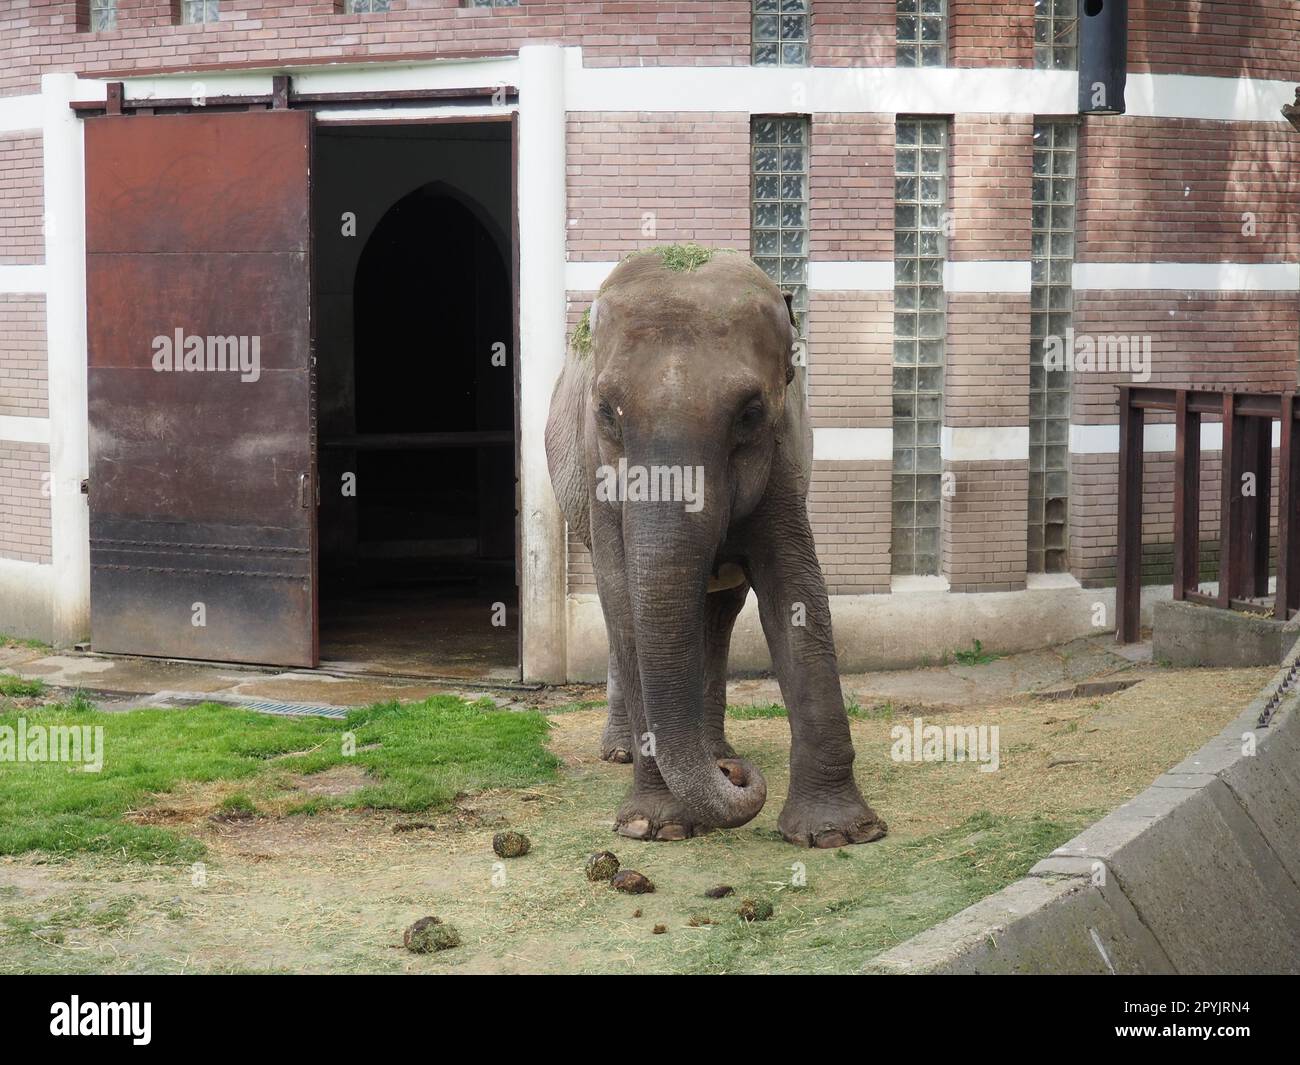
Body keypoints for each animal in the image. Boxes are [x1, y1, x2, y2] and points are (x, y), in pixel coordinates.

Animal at [545, 246, 887, 848]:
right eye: (606, 412)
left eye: (750, 414)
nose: (736, 776)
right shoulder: (596, 473)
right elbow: (624, 600)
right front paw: (653, 826)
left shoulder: (784, 455)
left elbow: (795, 593)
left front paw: (837, 834)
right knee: (623, 616)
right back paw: (625, 752)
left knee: (720, 613)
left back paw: (716, 750)